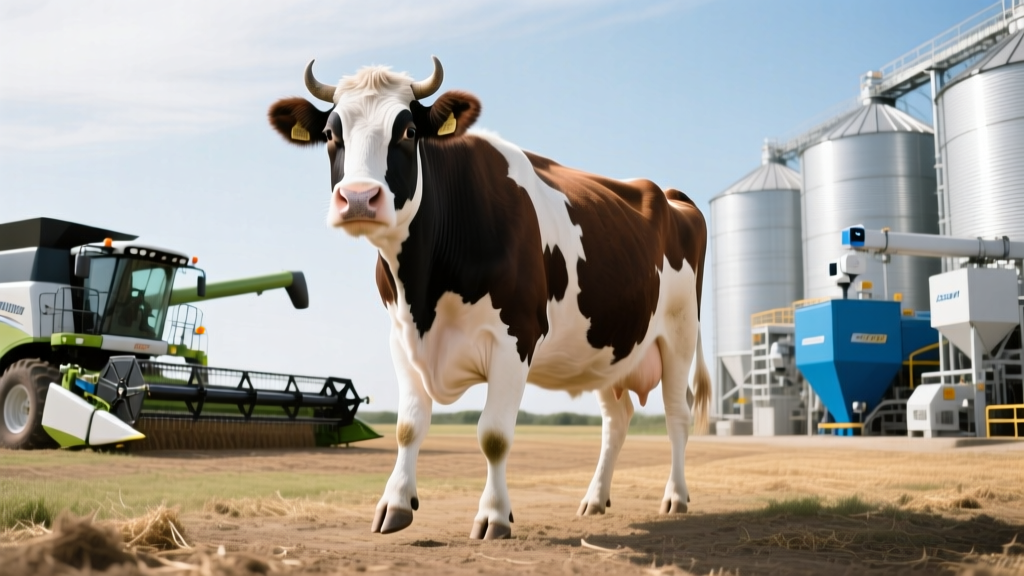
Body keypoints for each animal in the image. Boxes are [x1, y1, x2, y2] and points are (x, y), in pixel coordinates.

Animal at [268, 57, 711, 540]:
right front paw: (396, 504)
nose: (360, 198)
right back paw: (594, 499)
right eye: (332, 134)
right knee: (617, 420)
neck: (424, 289)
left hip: (679, 336)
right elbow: (407, 427)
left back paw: (677, 497)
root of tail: (668, 194)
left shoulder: (515, 338)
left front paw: (494, 516)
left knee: (676, 414)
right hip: (609, 347)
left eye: (408, 131)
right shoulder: (401, 336)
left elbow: (494, 434)